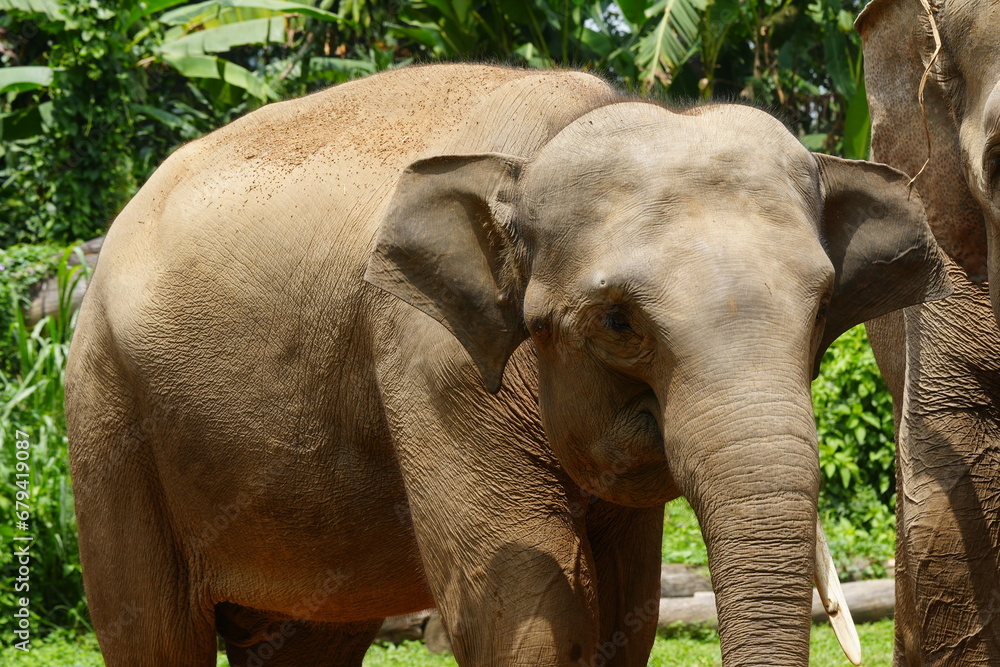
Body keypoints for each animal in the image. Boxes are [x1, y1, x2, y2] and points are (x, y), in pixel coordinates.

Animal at [64, 63, 949, 667]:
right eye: (618, 320)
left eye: (822, 311)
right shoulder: (428, 360)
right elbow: (522, 613)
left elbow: (626, 612)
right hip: (107, 417)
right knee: (152, 632)